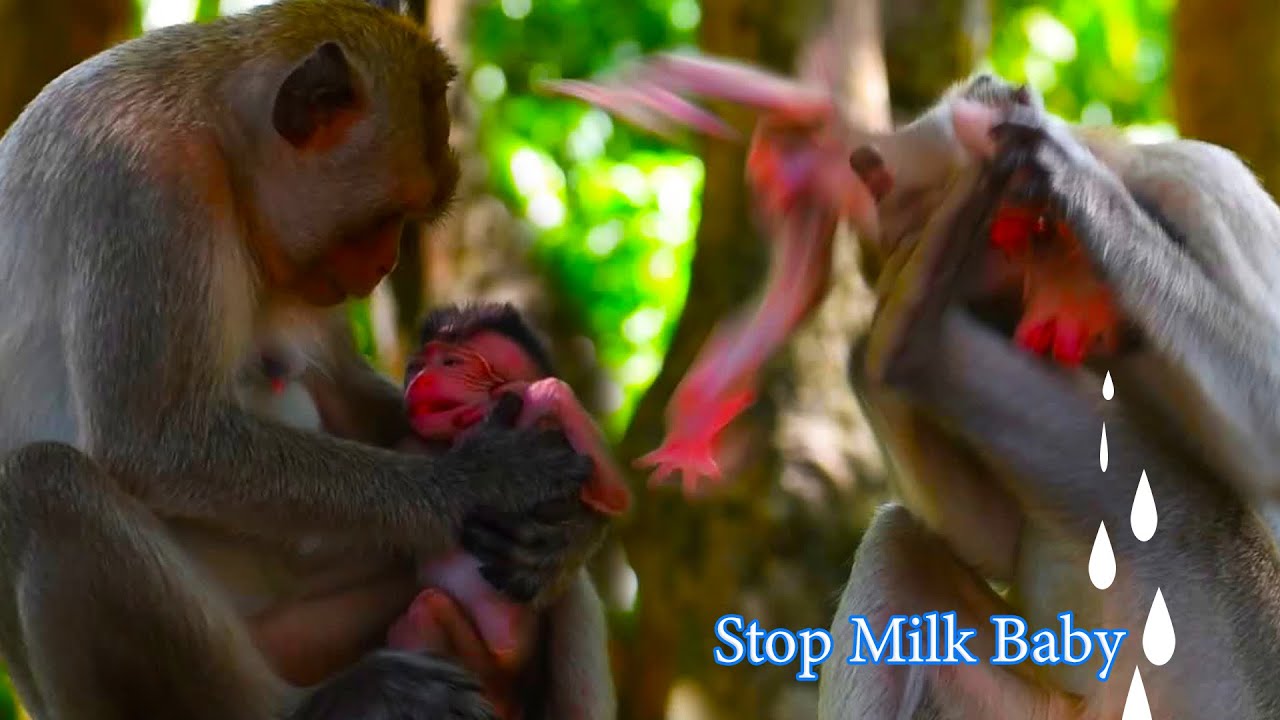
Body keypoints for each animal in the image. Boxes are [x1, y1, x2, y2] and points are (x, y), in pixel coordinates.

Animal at [0, 1, 608, 718]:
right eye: (386, 215)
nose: (385, 266)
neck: (219, 141)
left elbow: (348, 392)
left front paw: (575, 532)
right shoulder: (139, 184)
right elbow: (151, 439)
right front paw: (481, 479)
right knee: (42, 482)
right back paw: (319, 703)